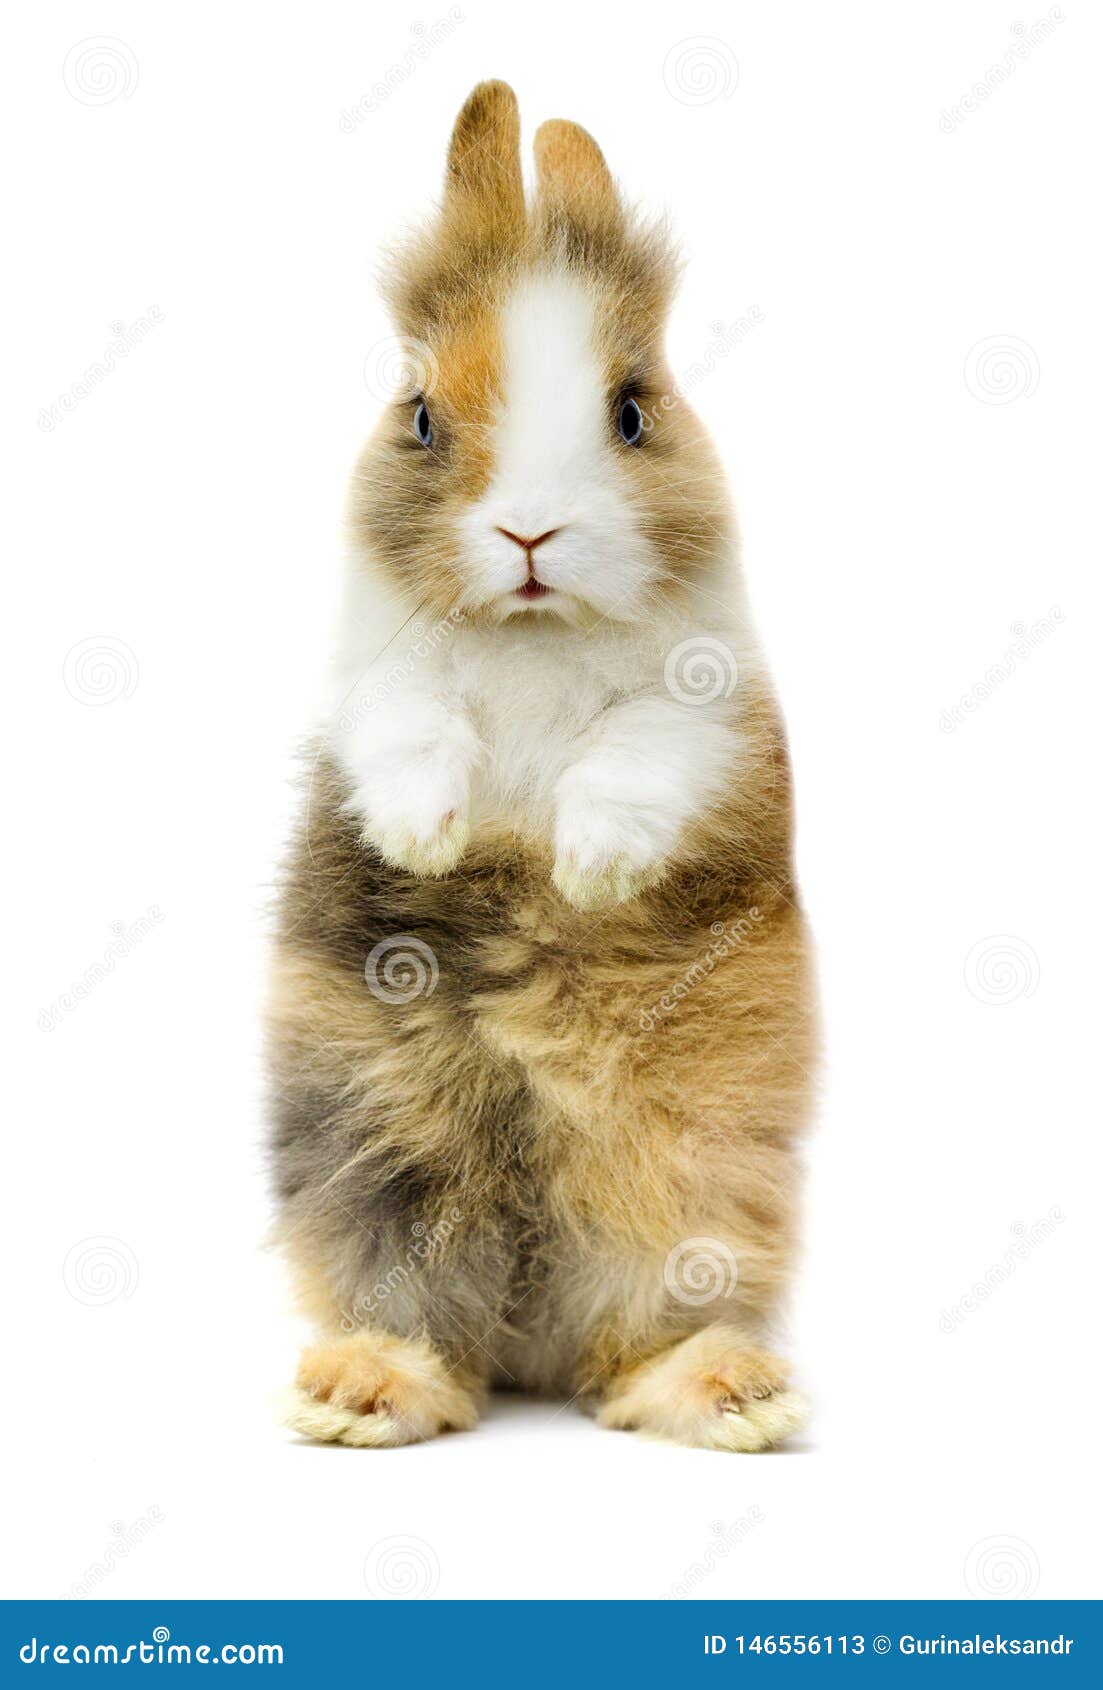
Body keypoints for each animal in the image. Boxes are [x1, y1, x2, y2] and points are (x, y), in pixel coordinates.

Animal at [268, 81, 819, 1452]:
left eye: (632, 410)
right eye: (420, 417)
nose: (530, 531)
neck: (532, 635)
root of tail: (528, 1332)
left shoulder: (703, 713)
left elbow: (631, 757)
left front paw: (585, 872)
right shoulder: (377, 690)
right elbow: (413, 731)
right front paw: (427, 839)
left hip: (694, 1178)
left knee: (634, 1343)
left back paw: (727, 1394)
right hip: (375, 1155)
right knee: (422, 1311)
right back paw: (362, 1386)